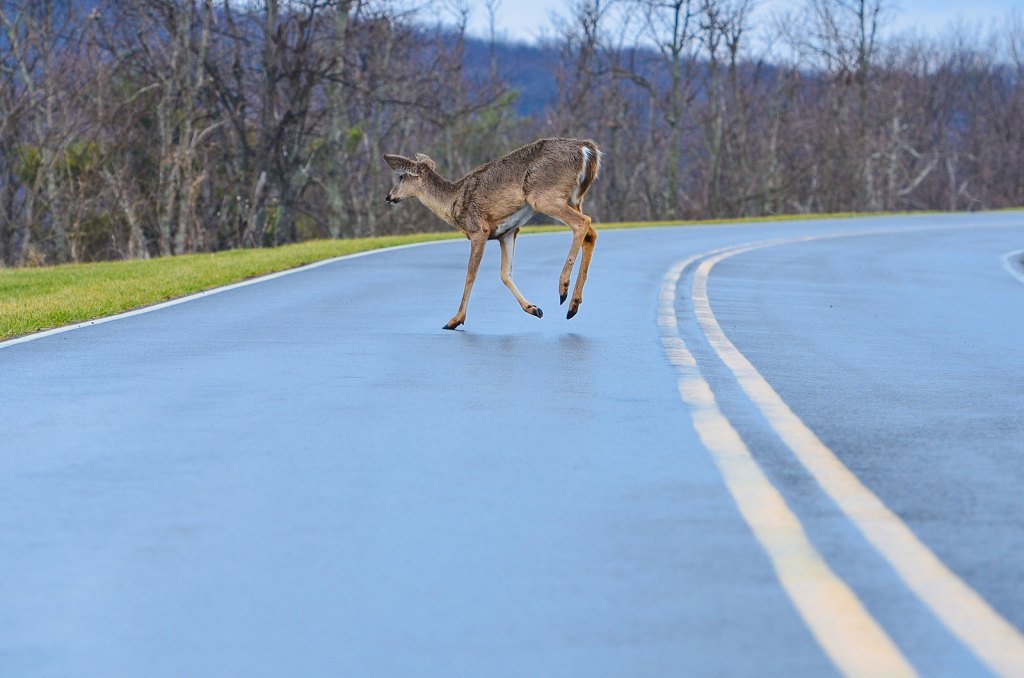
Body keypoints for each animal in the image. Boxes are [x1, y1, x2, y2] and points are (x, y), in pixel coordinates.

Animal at [383, 138, 601, 330]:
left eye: (401, 177)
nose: (389, 196)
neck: (452, 203)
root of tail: (587, 150)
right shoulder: (507, 232)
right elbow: (505, 274)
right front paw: (533, 308)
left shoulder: (478, 229)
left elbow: (471, 274)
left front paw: (455, 320)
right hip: (574, 198)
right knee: (591, 233)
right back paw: (573, 305)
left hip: (544, 196)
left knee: (583, 222)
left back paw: (563, 288)